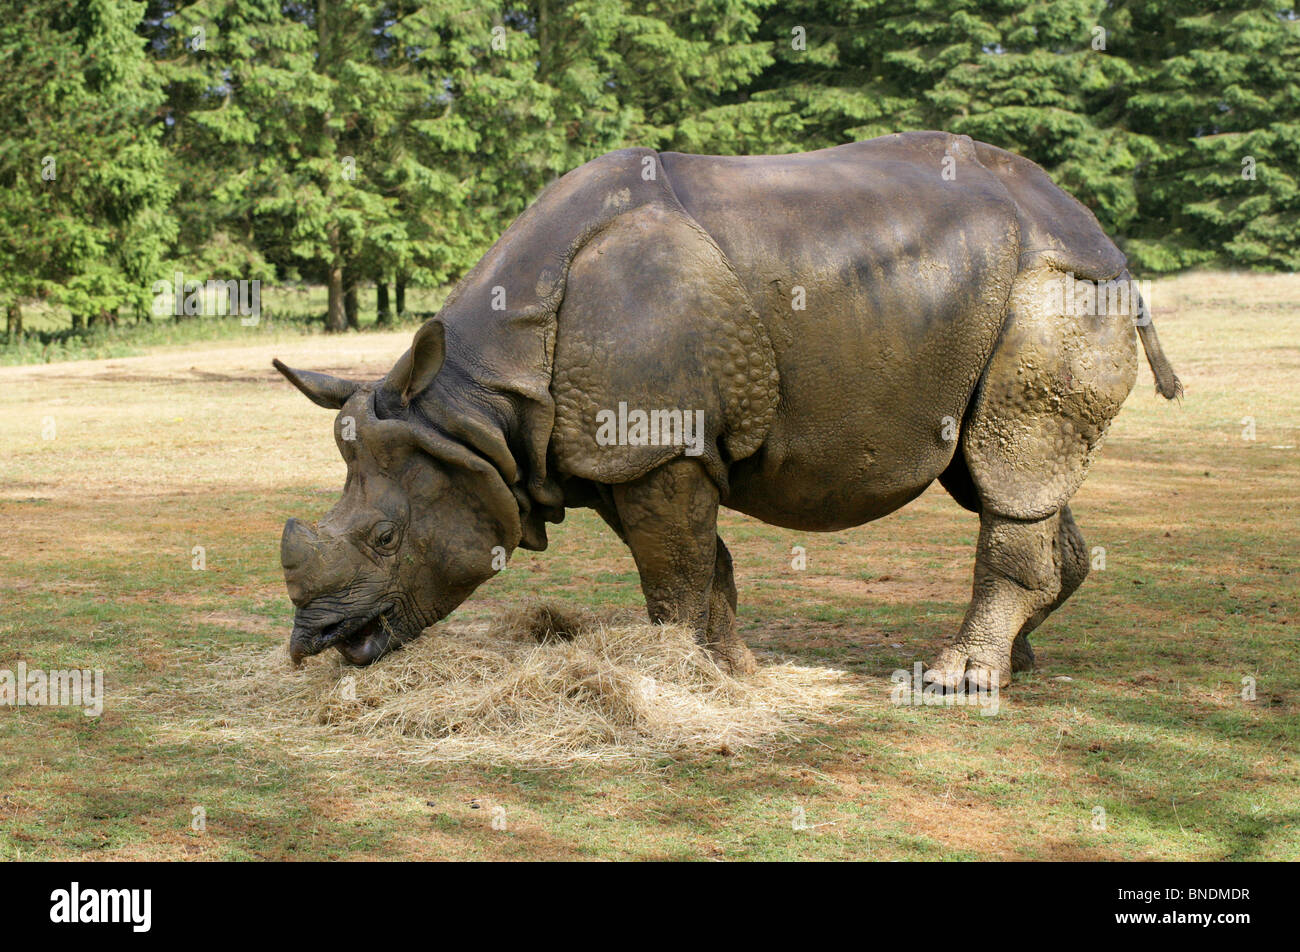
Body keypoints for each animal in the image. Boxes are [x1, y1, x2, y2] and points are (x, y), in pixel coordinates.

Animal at [274, 131, 1180, 689]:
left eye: (384, 539)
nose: (312, 644)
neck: (473, 407)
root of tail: (1103, 235)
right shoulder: (628, 449)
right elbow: (702, 563)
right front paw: (731, 674)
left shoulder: (653, 445)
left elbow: (672, 572)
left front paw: (670, 676)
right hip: (999, 298)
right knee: (1000, 474)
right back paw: (1016, 662)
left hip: (1057, 285)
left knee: (1008, 471)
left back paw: (959, 681)